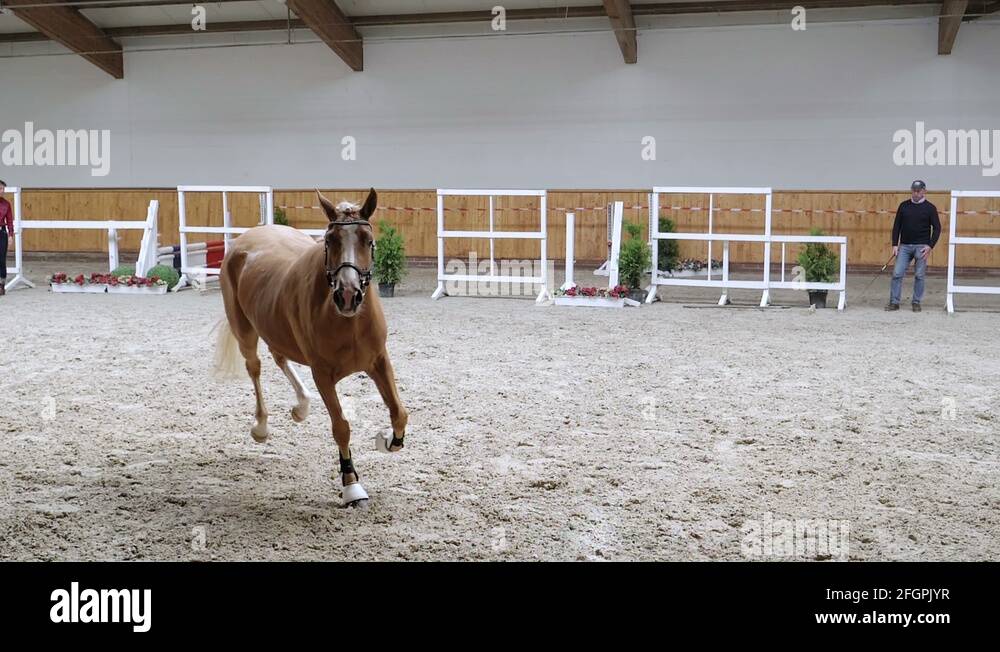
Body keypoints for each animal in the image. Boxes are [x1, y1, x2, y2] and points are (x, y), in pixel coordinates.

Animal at [212, 188, 408, 507]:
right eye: (330, 240)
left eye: (368, 240)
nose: (348, 295)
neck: (348, 321)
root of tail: (246, 239)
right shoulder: (322, 375)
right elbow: (341, 426)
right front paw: (351, 485)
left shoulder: (379, 361)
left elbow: (399, 412)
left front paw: (389, 440)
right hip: (245, 331)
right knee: (255, 367)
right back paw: (261, 427)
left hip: (275, 328)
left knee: (279, 356)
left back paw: (302, 406)